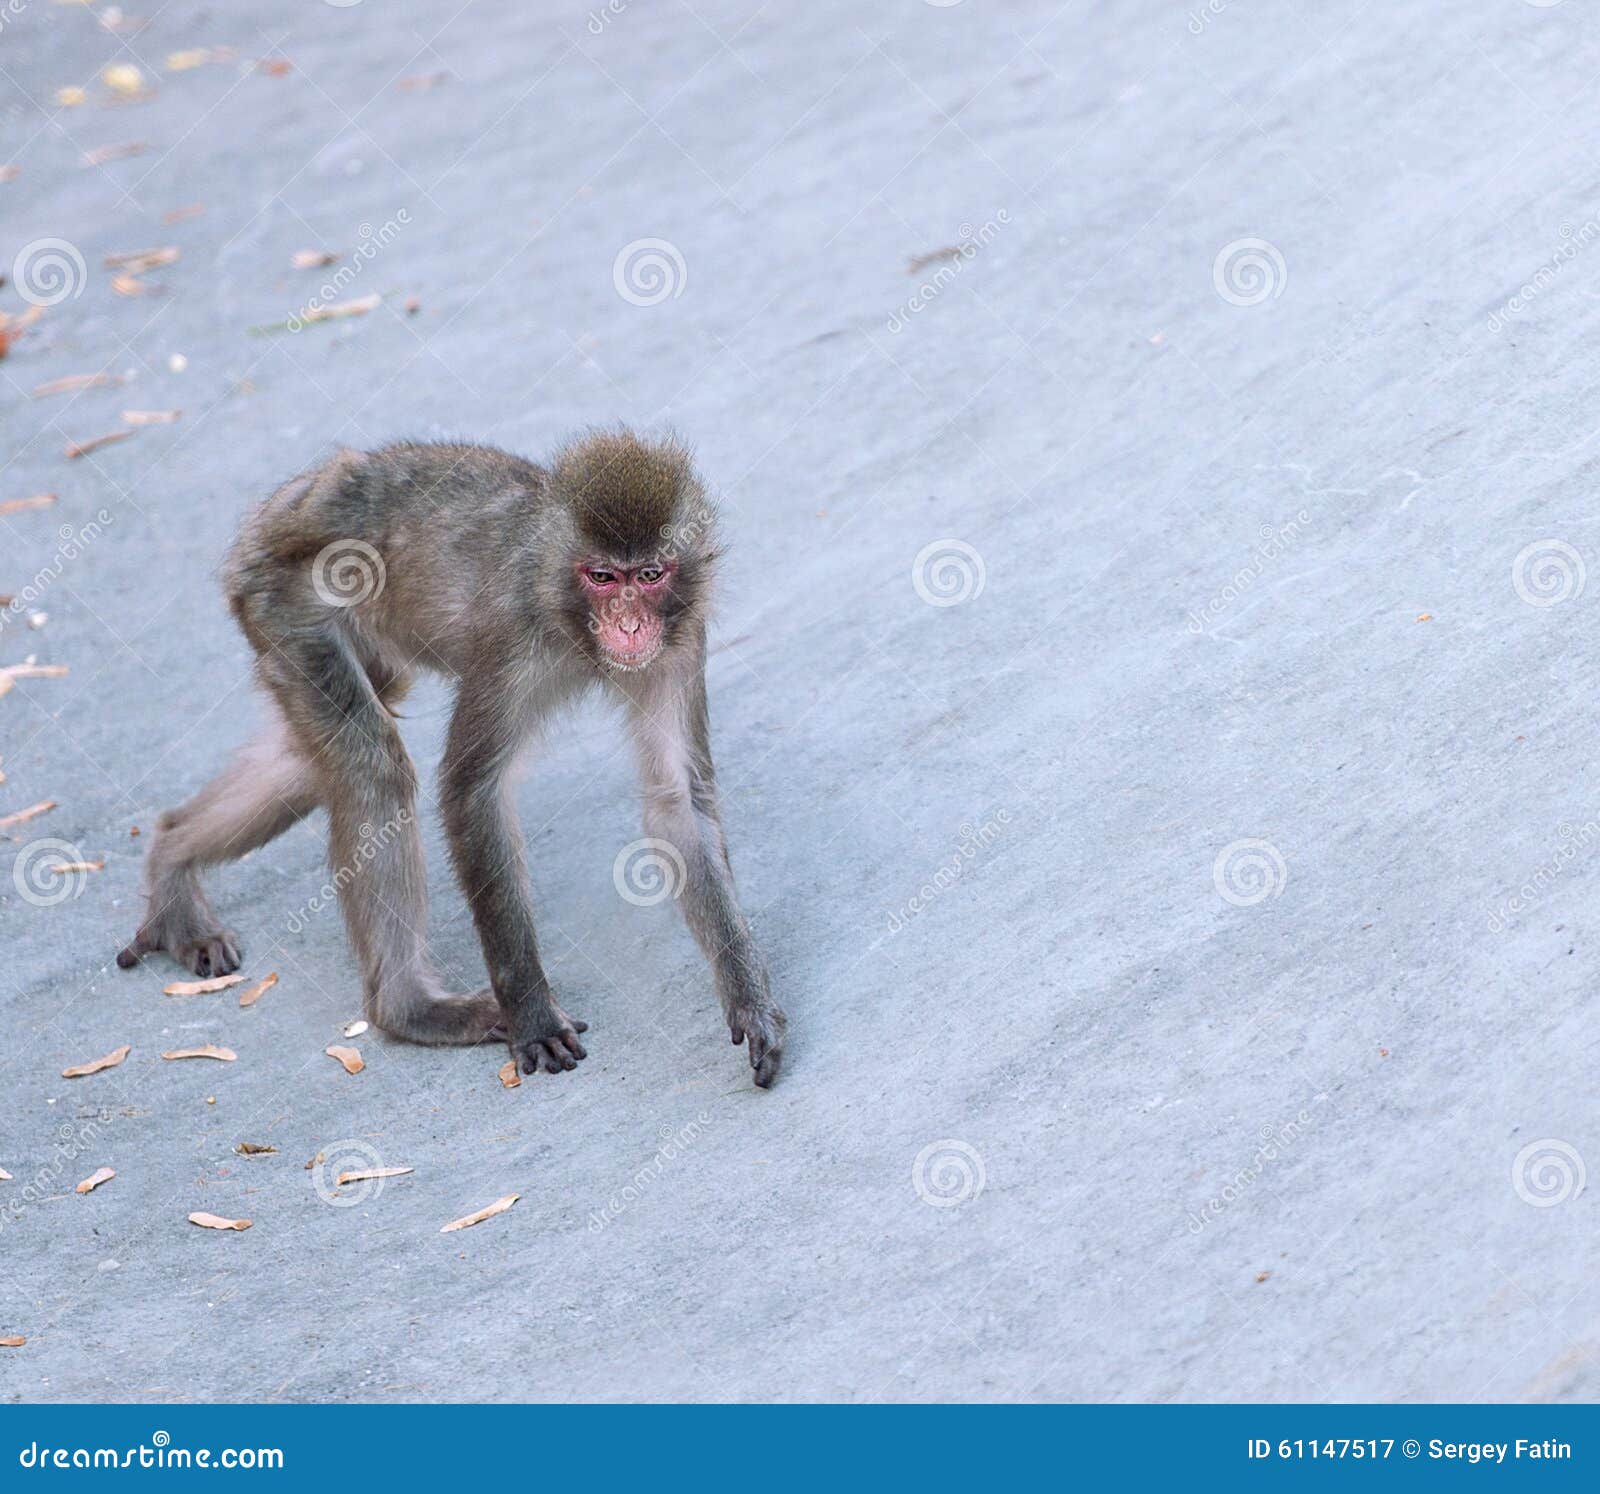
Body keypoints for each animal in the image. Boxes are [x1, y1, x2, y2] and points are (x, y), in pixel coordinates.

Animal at [115, 431, 786, 1087]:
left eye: (649, 574)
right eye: (600, 576)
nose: (628, 626)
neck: (571, 623)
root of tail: (282, 510)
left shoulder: (683, 635)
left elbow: (677, 798)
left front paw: (747, 995)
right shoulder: (510, 633)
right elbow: (472, 789)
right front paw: (532, 1013)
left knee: (318, 754)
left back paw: (172, 855)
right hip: (282, 602)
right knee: (372, 764)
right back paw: (409, 1009)